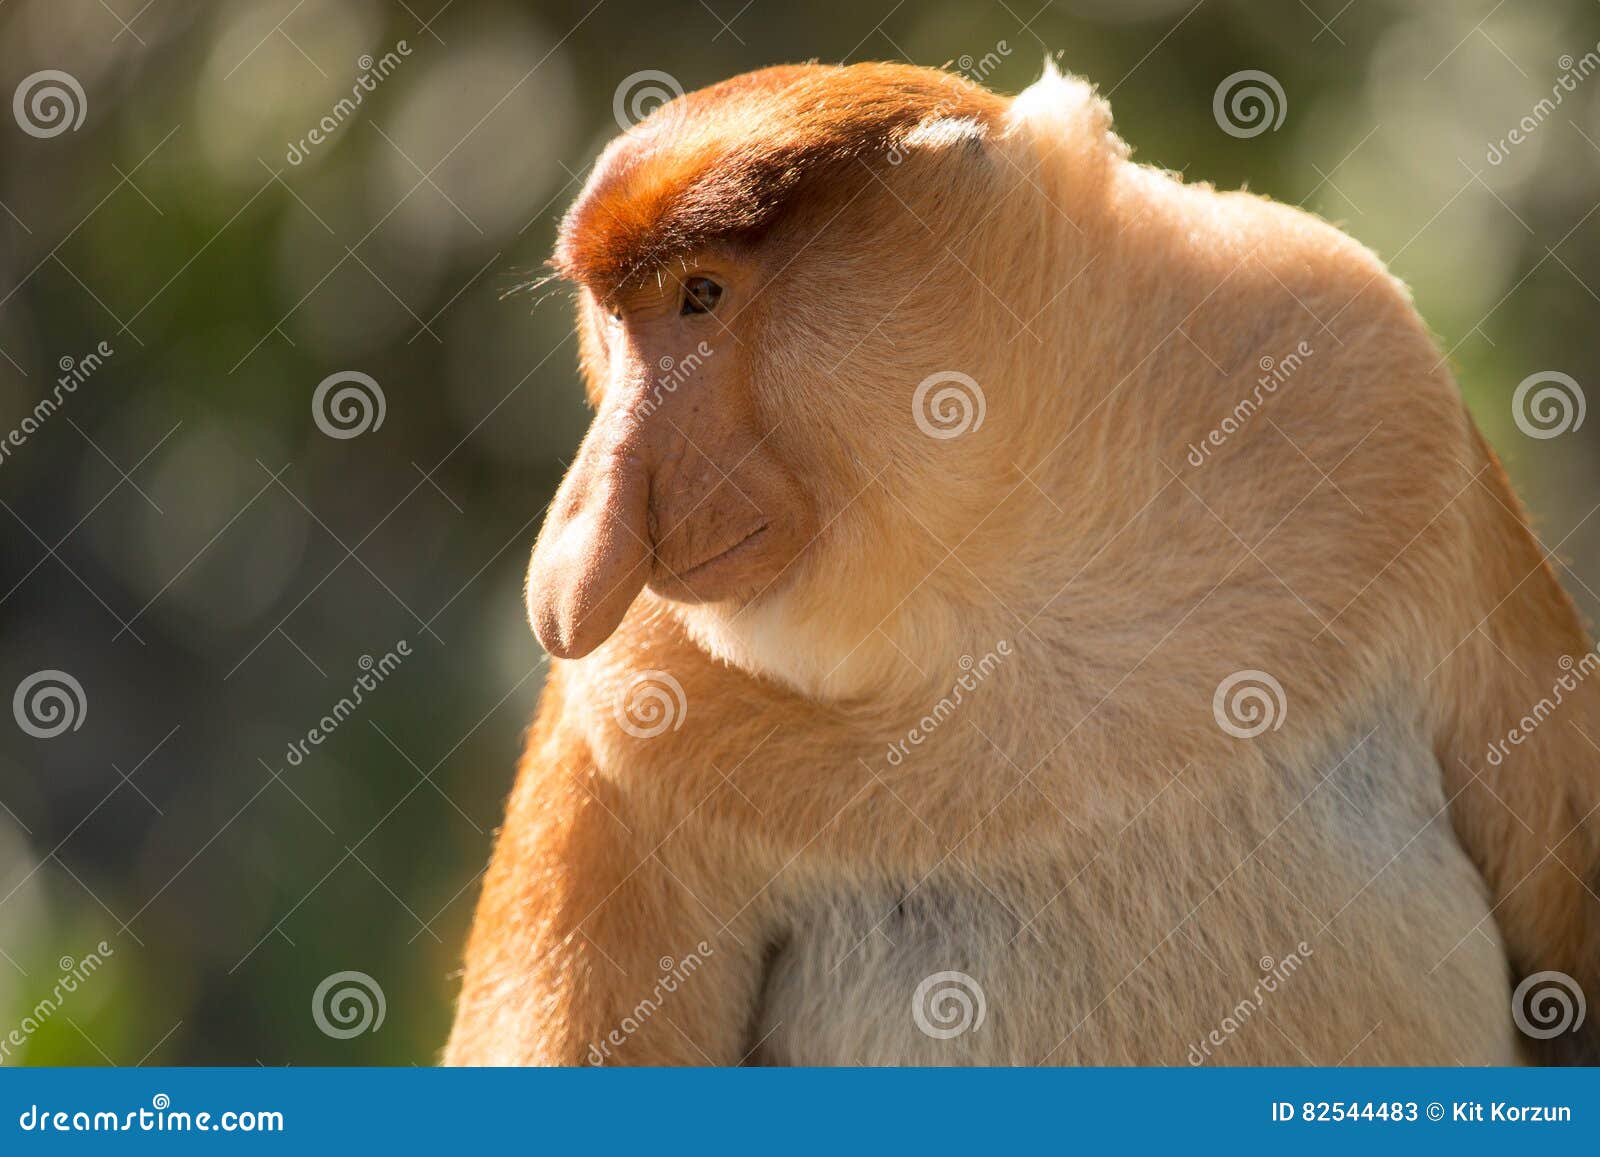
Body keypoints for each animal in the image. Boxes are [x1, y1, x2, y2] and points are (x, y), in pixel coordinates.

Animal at [445, 61, 1600, 1066]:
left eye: (699, 295)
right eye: (615, 318)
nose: (578, 546)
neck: (1012, 568)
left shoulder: (1371, 363)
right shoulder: (629, 704)